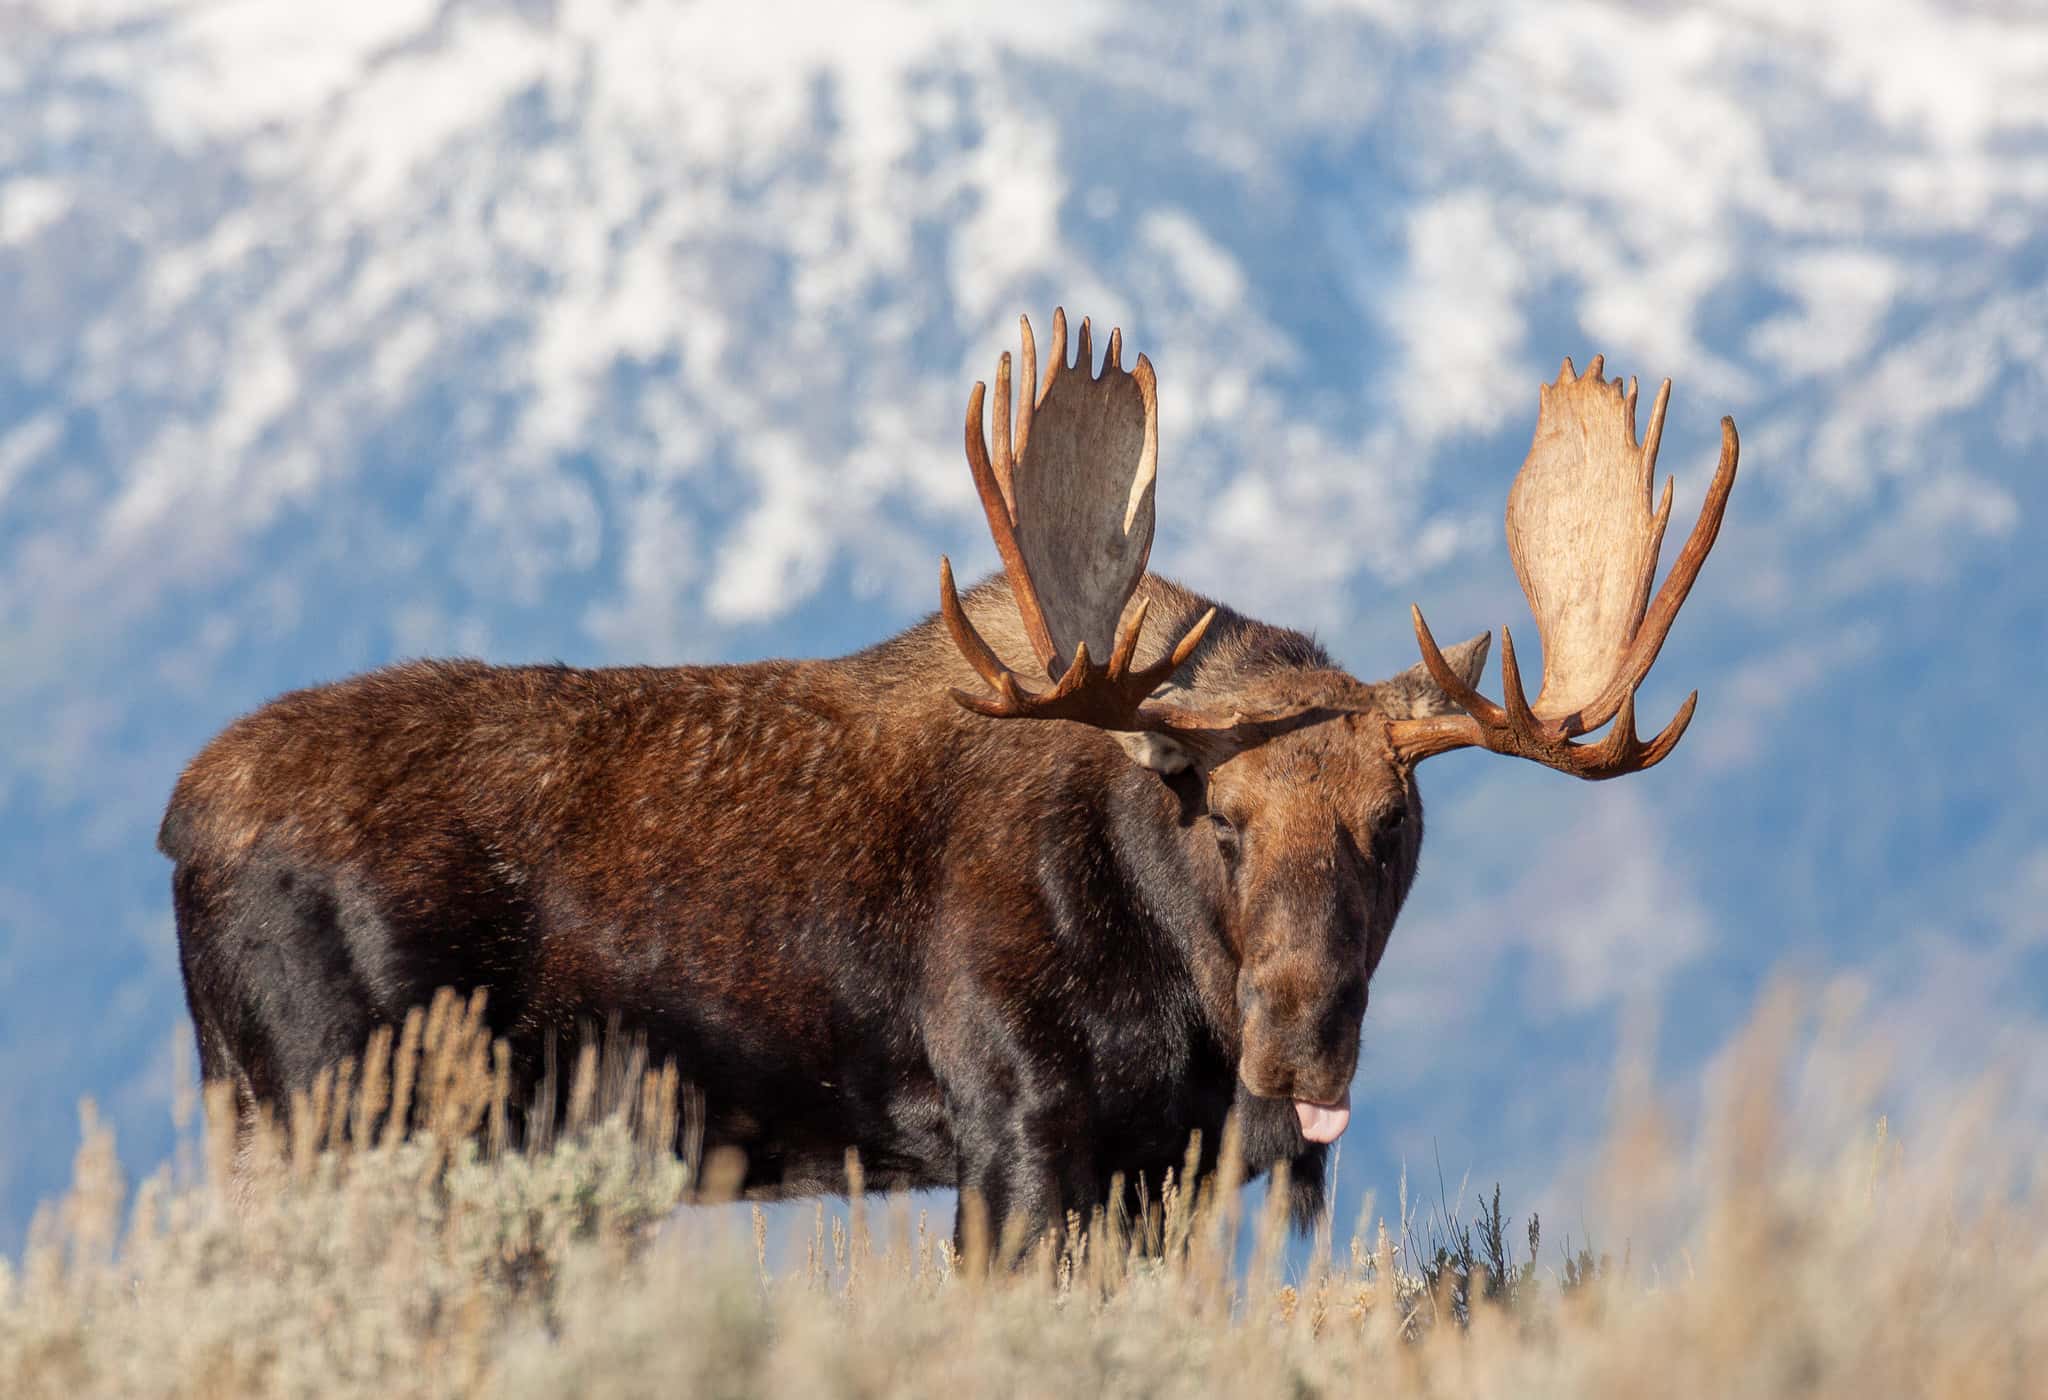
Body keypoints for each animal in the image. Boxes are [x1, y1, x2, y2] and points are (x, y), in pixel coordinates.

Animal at [160, 309, 1738, 1254]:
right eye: (1223, 819)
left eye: (1393, 823)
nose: (1299, 1048)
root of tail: (180, 821)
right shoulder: (1017, 1130)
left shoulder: (1159, 1171)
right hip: (344, 1109)